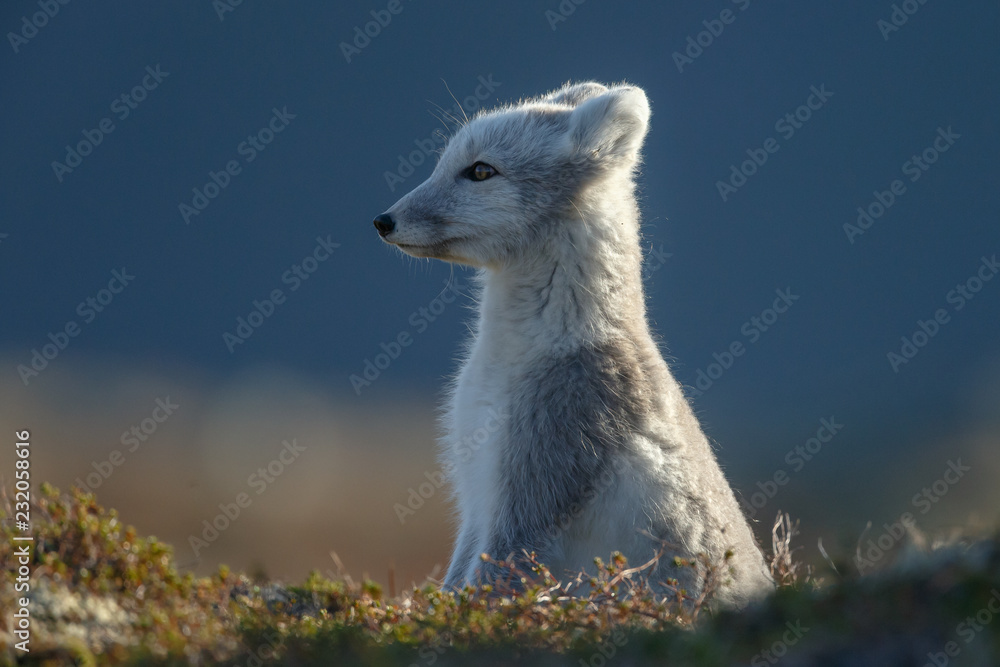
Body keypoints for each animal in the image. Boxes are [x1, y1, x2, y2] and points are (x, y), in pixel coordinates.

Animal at [373, 81, 774, 608]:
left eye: (480, 171)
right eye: (443, 161)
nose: (382, 221)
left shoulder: (536, 484)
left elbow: (488, 584)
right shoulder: (476, 498)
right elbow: (457, 575)